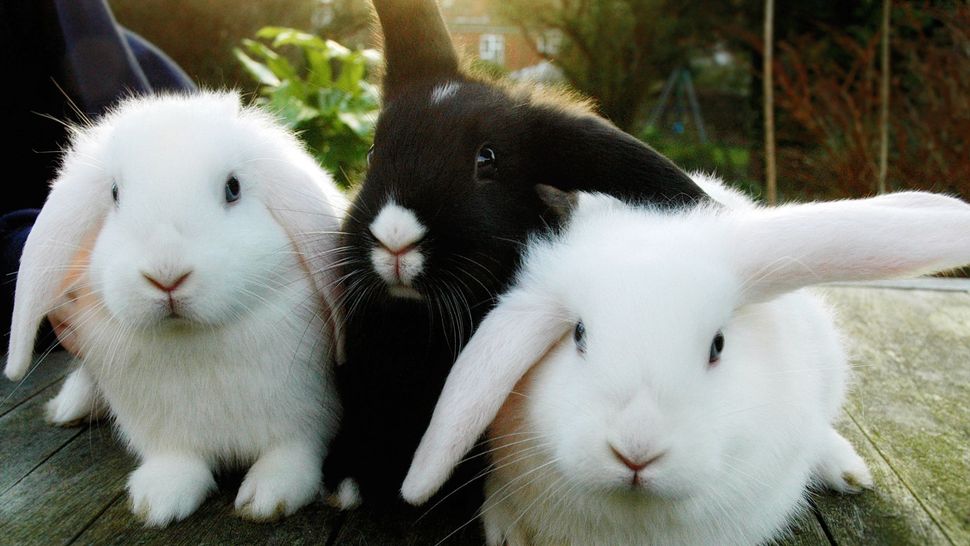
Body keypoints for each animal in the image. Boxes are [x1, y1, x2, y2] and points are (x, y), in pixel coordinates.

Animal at [4, 91, 347, 526]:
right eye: (114, 194)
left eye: (233, 188)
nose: (166, 276)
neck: (192, 341)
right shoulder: (163, 432)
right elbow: (177, 461)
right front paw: (157, 501)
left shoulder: (305, 416)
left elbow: (292, 451)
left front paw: (268, 497)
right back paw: (69, 407)